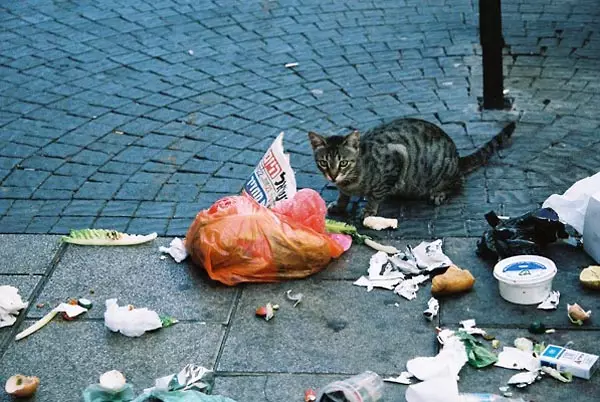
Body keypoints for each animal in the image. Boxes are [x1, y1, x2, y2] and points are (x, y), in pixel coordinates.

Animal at [310, 118, 516, 218]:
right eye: (324, 163)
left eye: (343, 163)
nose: (333, 176)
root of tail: (457, 157)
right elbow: (343, 195)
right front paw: (340, 204)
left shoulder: (397, 158)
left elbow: (376, 194)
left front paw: (369, 210)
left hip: (443, 170)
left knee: (460, 182)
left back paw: (440, 192)